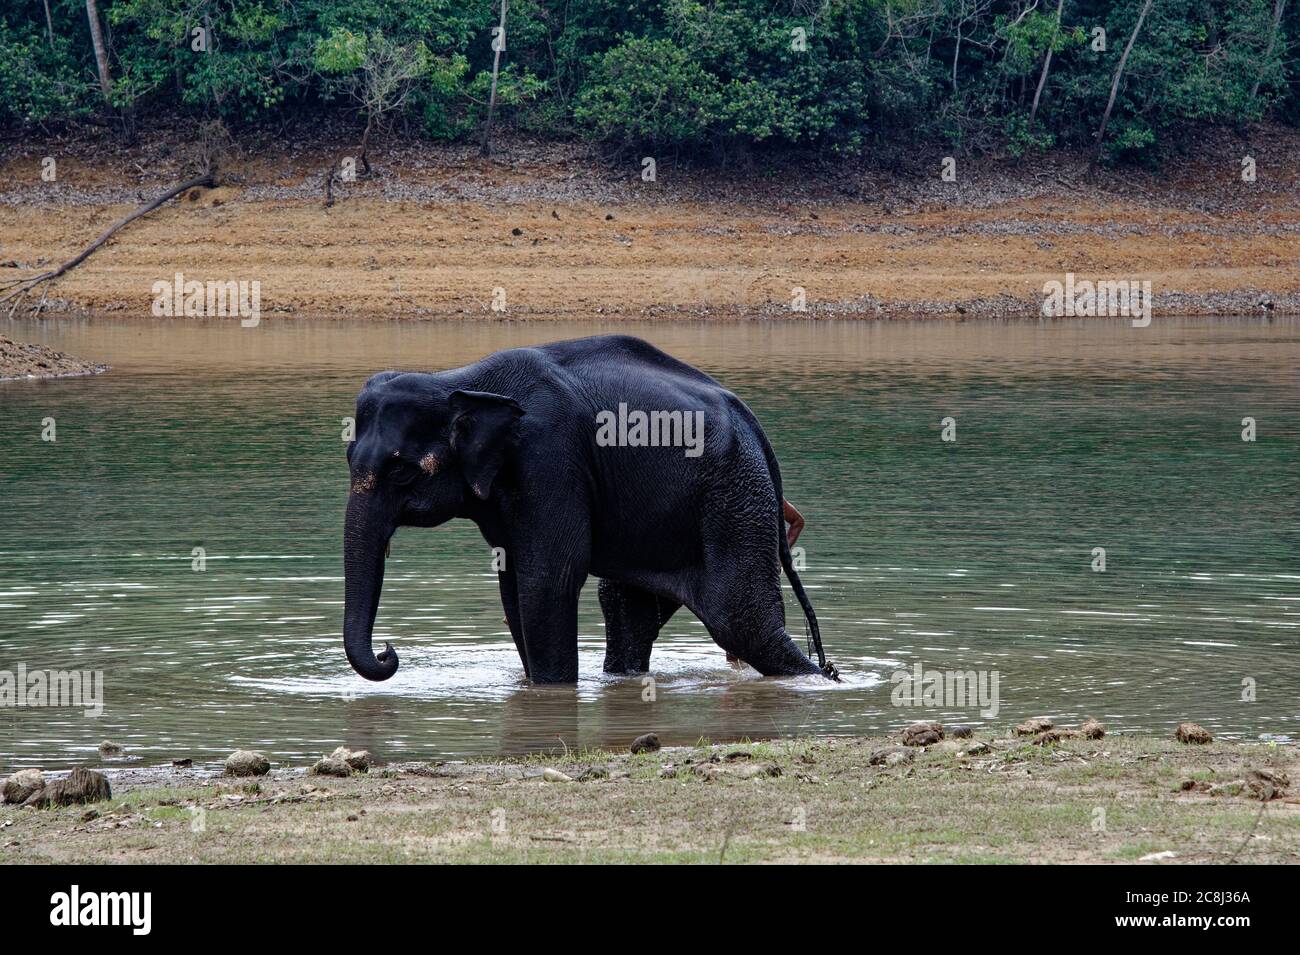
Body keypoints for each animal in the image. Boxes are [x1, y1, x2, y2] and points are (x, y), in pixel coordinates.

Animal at [342, 334, 836, 685]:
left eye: (400, 473)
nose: (388, 652)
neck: (457, 380)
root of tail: (753, 424)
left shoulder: (551, 458)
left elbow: (550, 575)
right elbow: (514, 580)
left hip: (734, 496)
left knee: (742, 621)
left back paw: (824, 679)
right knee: (627, 608)